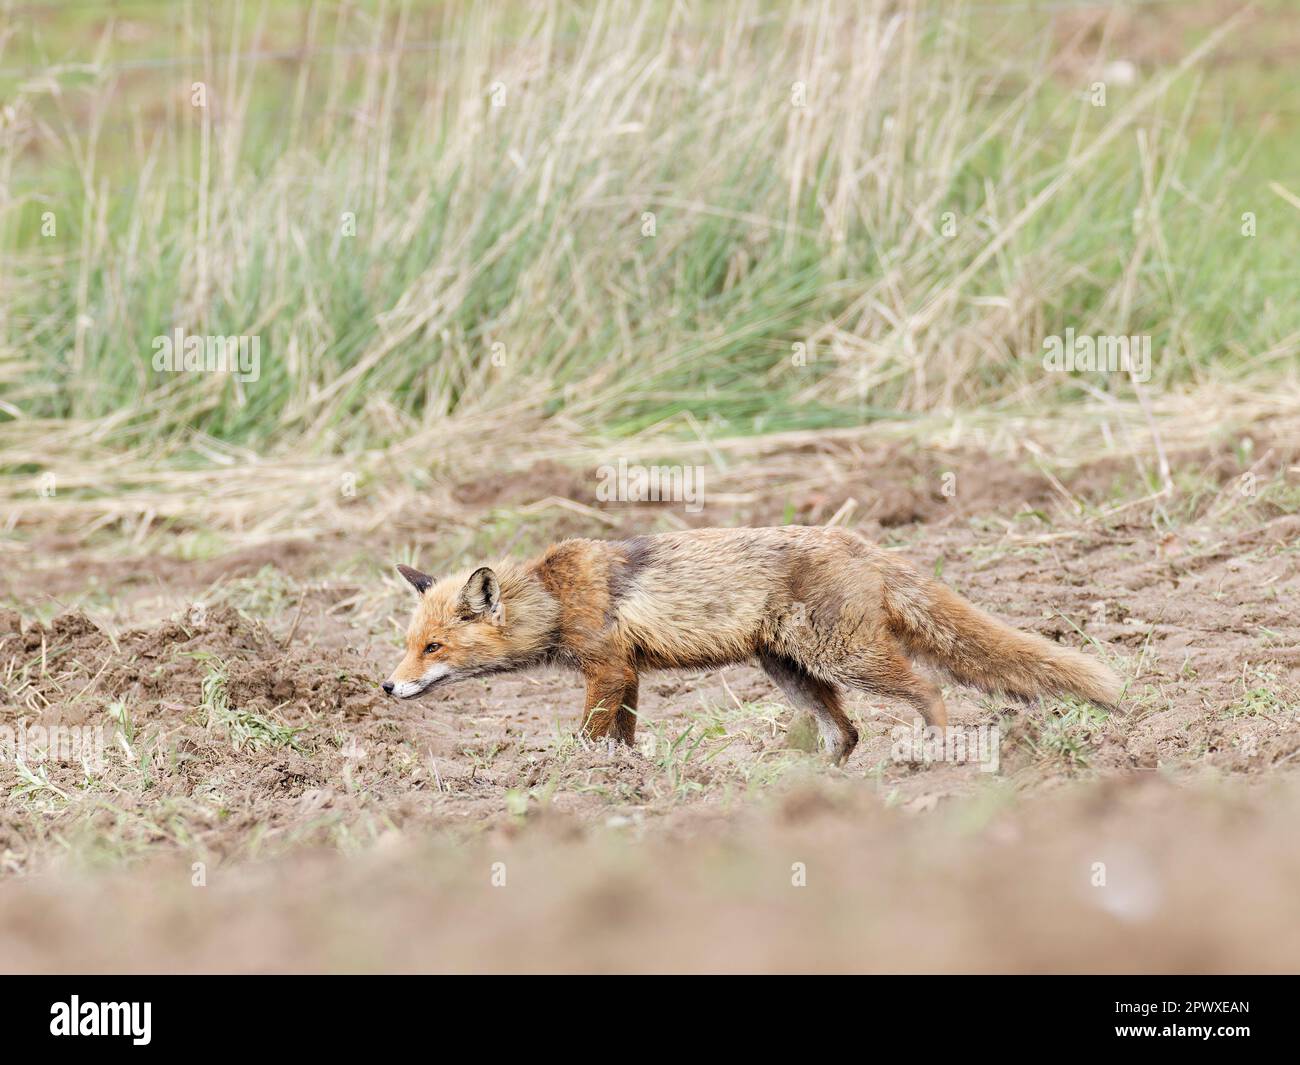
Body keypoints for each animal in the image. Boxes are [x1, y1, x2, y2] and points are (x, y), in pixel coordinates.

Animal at [383, 525, 1121, 764]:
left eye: (434, 648)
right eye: (410, 644)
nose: (387, 686)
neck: (557, 597)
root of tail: (860, 541)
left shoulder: (606, 670)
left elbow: (591, 734)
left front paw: (579, 775)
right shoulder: (627, 673)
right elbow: (624, 734)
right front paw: (626, 776)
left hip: (843, 657)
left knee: (928, 688)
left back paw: (933, 753)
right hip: (791, 671)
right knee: (848, 731)